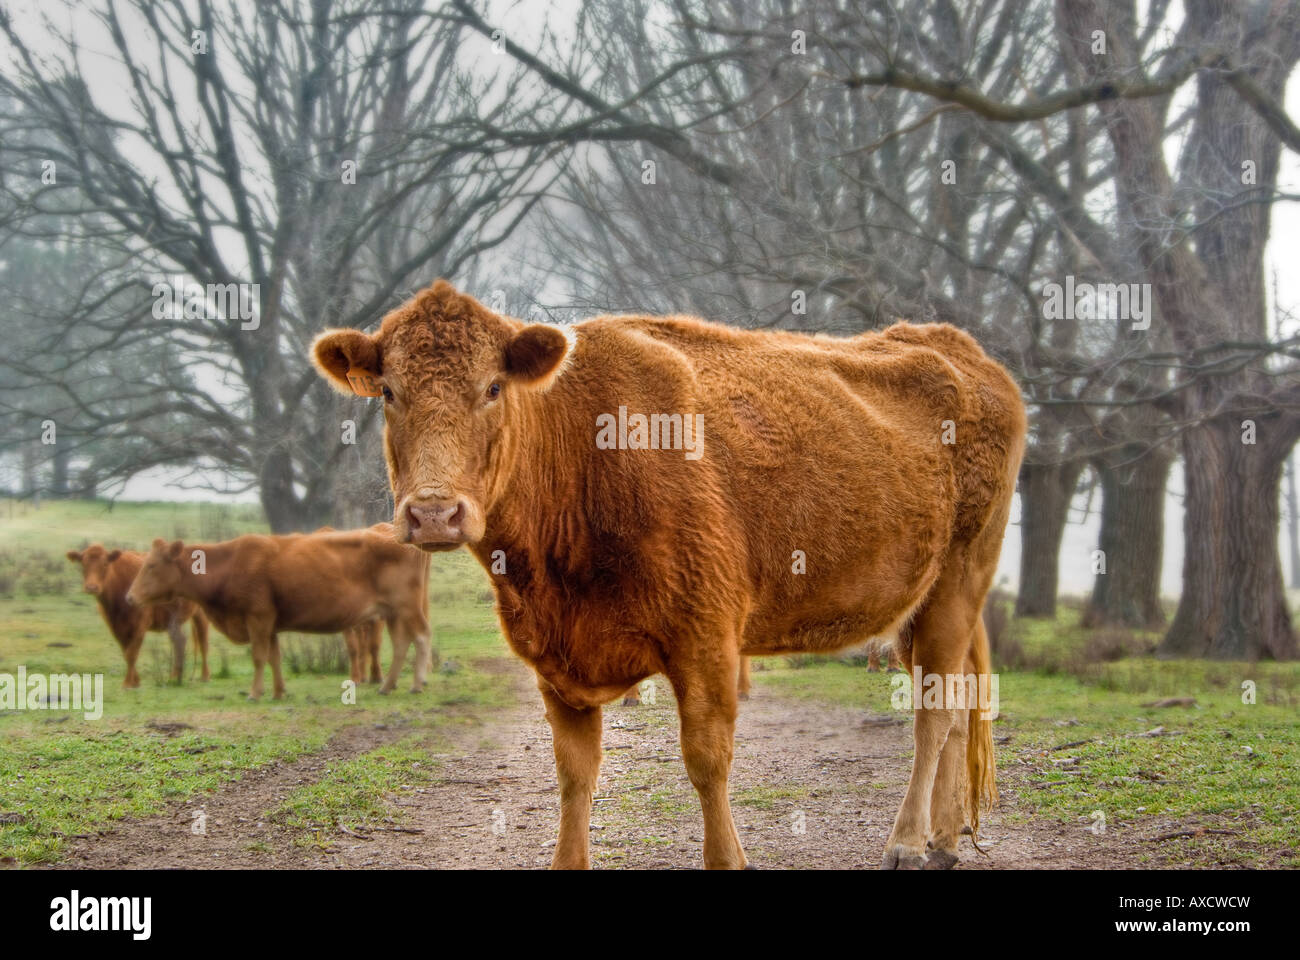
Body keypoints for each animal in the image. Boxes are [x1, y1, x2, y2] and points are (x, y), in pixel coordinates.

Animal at [66, 545, 210, 689]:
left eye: (105, 564)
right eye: (83, 564)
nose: (92, 587)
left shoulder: (140, 625)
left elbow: (132, 653)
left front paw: (128, 683)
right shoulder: (116, 627)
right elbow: (126, 651)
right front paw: (135, 681)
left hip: (201, 614)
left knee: (202, 641)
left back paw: (204, 676)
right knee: (178, 642)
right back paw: (174, 676)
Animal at [125, 523, 432, 700]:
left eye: (151, 565)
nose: (129, 597)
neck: (230, 564)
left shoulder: (257, 618)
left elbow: (259, 657)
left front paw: (255, 692)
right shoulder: (269, 624)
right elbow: (274, 657)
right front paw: (278, 691)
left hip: (407, 608)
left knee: (421, 638)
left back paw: (416, 683)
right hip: (392, 613)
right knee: (402, 644)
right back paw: (387, 685)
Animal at [311, 279, 1026, 870]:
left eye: (492, 388)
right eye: (388, 392)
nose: (433, 512)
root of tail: (955, 345)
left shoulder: (706, 640)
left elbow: (707, 763)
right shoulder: (554, 661)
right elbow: (575, 775)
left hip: (961, 577)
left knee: (935, 711)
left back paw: (906, 843)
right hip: (921, 603)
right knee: (957, 703)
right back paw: (944, 838)